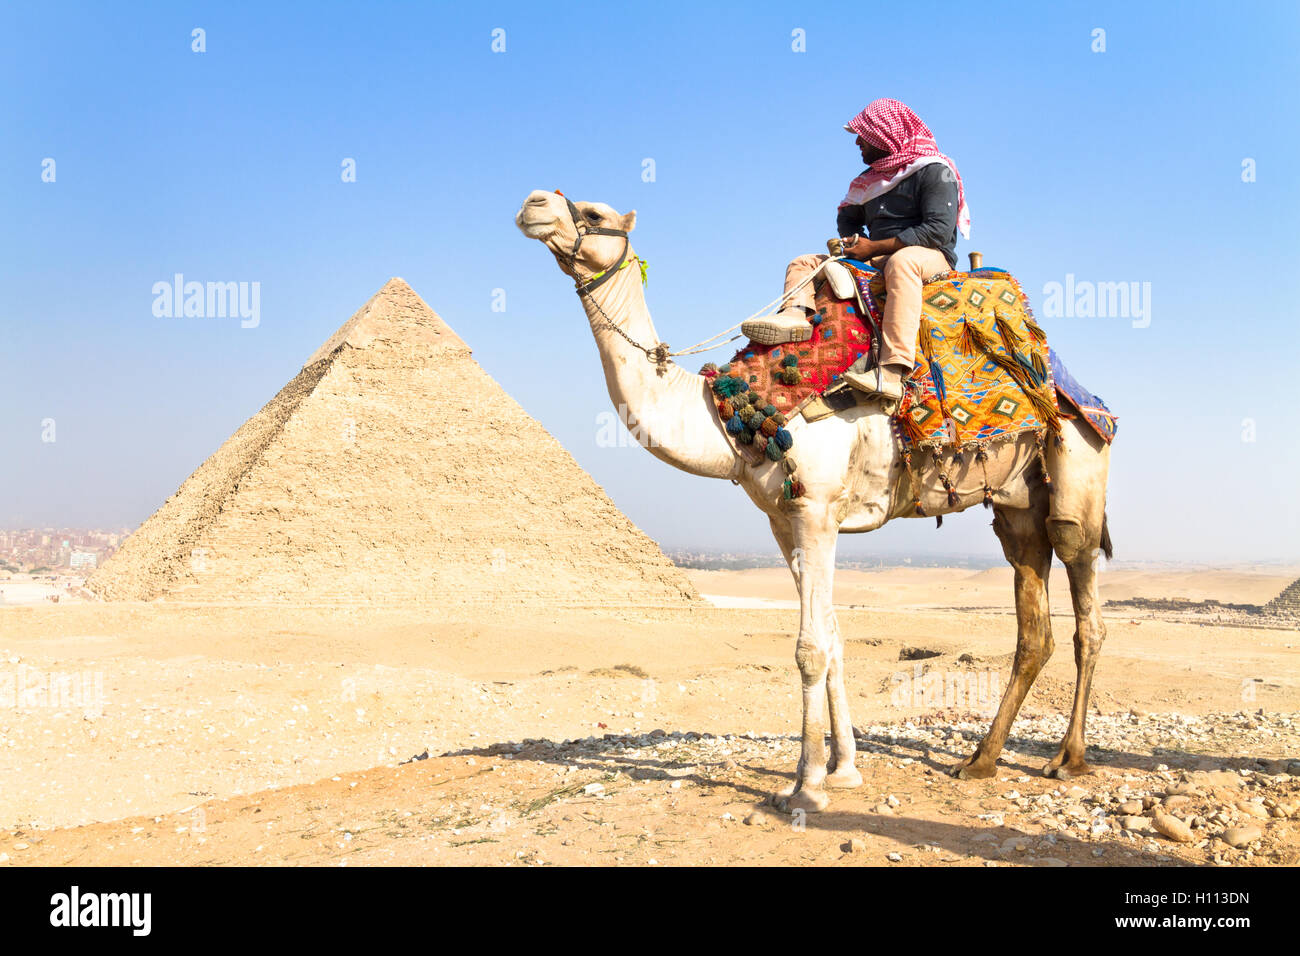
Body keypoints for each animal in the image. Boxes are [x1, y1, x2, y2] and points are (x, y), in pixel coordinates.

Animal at [516, 189, 1113, 814]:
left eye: (595, 214)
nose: (534, 204)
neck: (731, 413)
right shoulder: (784, 520)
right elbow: (832, 638)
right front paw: (843, 769)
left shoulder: (817, 511)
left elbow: (810, 648)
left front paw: (806, 785)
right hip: (1017, 503)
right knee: (1032, 615)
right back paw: (981, 761)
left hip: (1078, 463)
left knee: (1083, 603)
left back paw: (1067, 759)